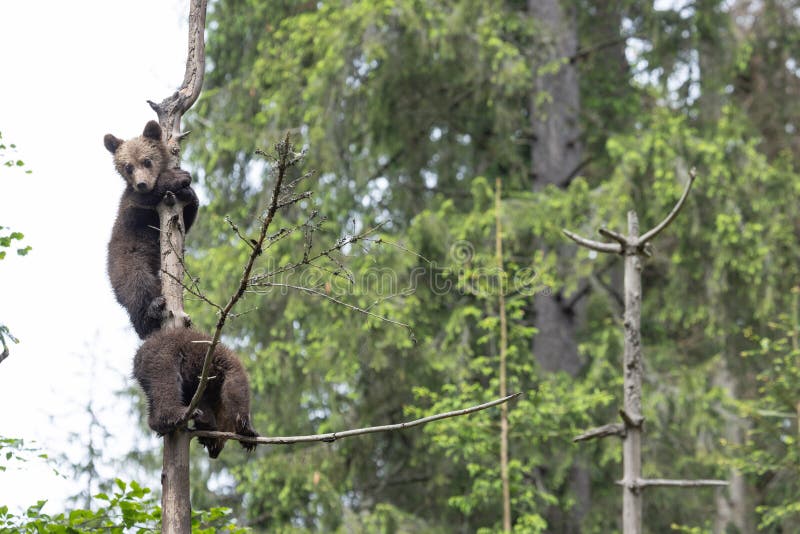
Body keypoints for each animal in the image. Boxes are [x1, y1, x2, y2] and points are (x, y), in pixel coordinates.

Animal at [104, 120, 199, 339]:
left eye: (147, 161)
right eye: (128, 166)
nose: (142, 183)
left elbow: (188, 217)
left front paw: (189, 192)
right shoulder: (130, 212)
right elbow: (137, 203)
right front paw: (177, 177)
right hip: (126, 262)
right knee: (137, 285)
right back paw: (152, 310)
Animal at [133, 328, 259, 458]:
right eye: (227, 432)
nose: (214, 453)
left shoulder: (199, 384)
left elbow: (200, 401)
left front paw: (206, 430)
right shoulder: (218, 364)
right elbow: (236, 386)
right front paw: (247, 431)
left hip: (147, 378)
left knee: (153, 398)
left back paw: (158, 424)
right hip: (163, 357)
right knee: (166, 383)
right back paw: (177, 414)